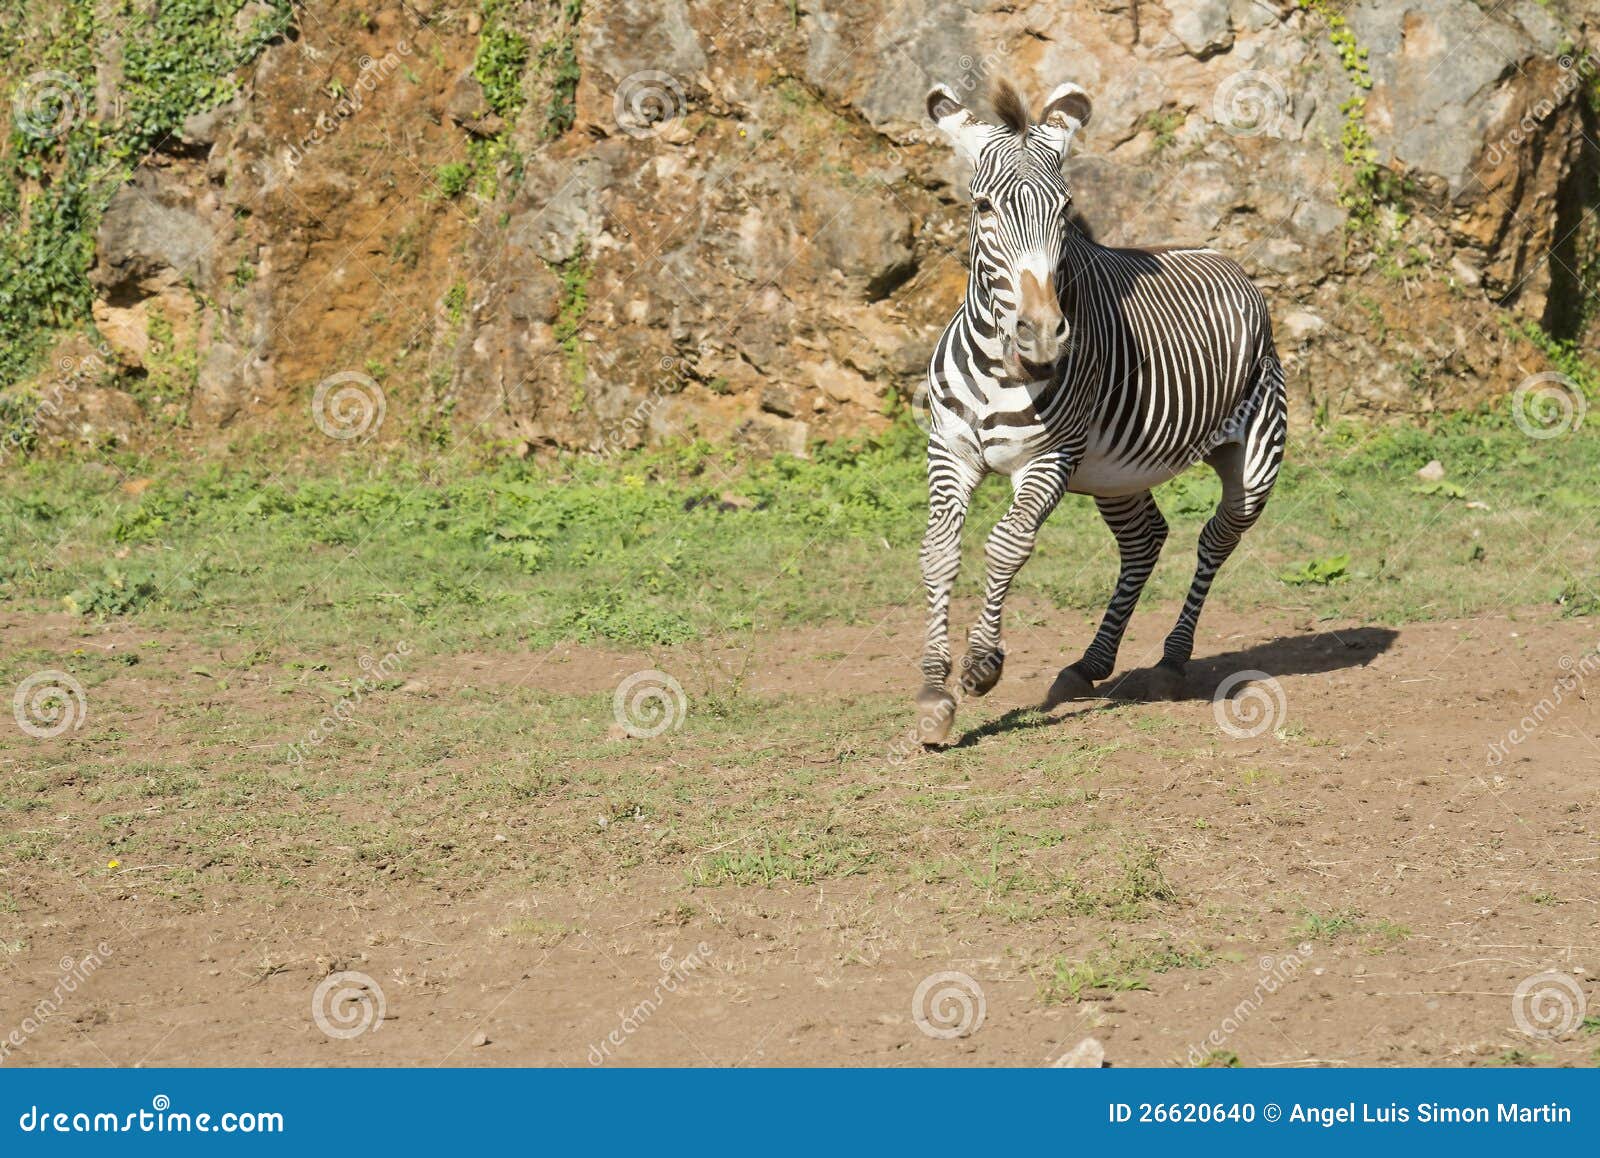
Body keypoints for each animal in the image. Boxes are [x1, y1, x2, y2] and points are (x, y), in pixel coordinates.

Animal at [914, 78, 1287, 747]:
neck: (1002, 366)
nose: (1042, 335)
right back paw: (1087, 667)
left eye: (1064, 212)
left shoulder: (1050, 459)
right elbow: (938, 550)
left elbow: (1007, 544)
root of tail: (1221, 254)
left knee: (1216, 539)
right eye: (983, 207)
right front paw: (935, 692)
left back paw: (1170, 662)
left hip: (1255, 455)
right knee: (1145, 540)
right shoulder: (949, 450)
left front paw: (982, 665)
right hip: (1116, 474)